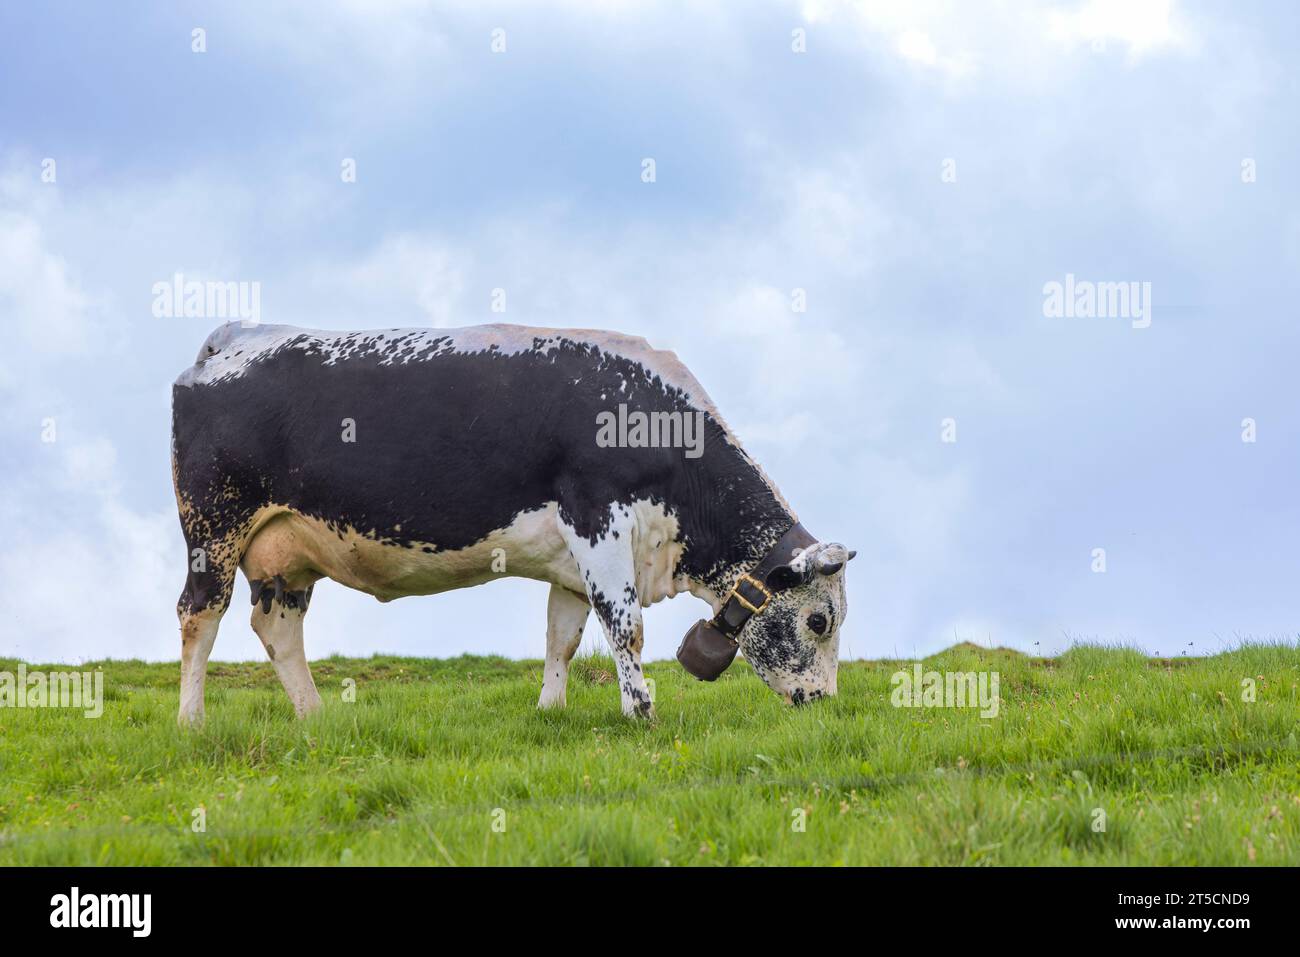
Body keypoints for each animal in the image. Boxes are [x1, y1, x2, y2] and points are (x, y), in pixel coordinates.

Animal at [172, 322, 854, 724]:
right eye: (819, 620)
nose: (823, 701)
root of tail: (231, 339)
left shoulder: (575, 561)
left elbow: (564, 636)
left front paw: (550, 711)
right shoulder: (598, 515)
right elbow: (625, 627)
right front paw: (641, 712)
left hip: (286, 552)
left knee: (277, 627)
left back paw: (315, 718)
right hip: (213, 527)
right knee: (199, 615)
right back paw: (192, 721)